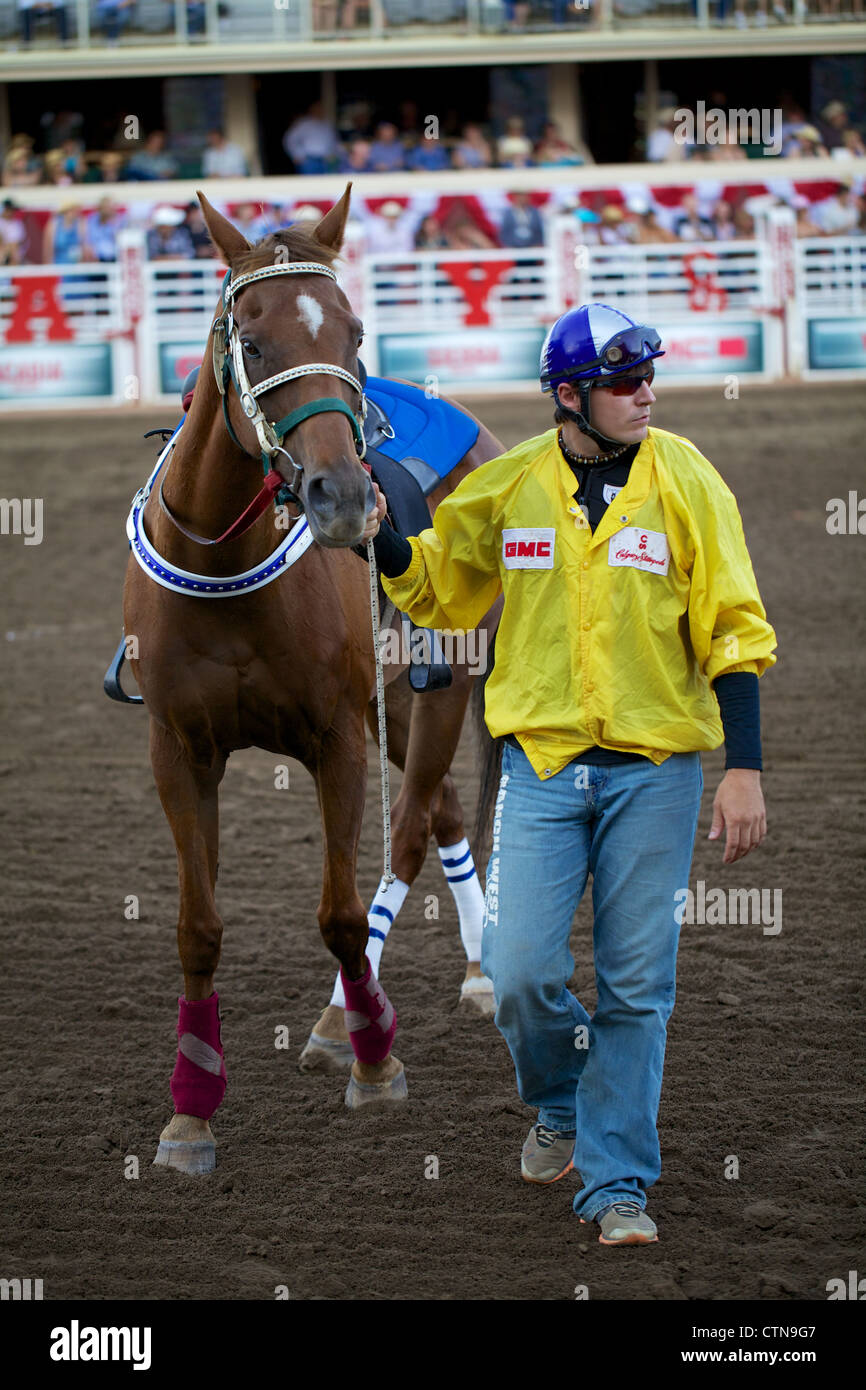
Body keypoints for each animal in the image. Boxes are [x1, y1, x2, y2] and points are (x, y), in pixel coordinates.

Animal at [121, 185, 505, 1174]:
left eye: (355, 333)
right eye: (251, 343)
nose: (342, 497)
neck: (226, 562)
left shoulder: (334, 738)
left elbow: (339, 912)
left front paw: (374, 1063)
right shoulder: (176, 749)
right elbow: (198, 927)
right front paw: (189, 1115)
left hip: (439, 691)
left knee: (411, 831)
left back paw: (355, 1019)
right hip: (396, 707)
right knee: (447, 812)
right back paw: (478, 971)